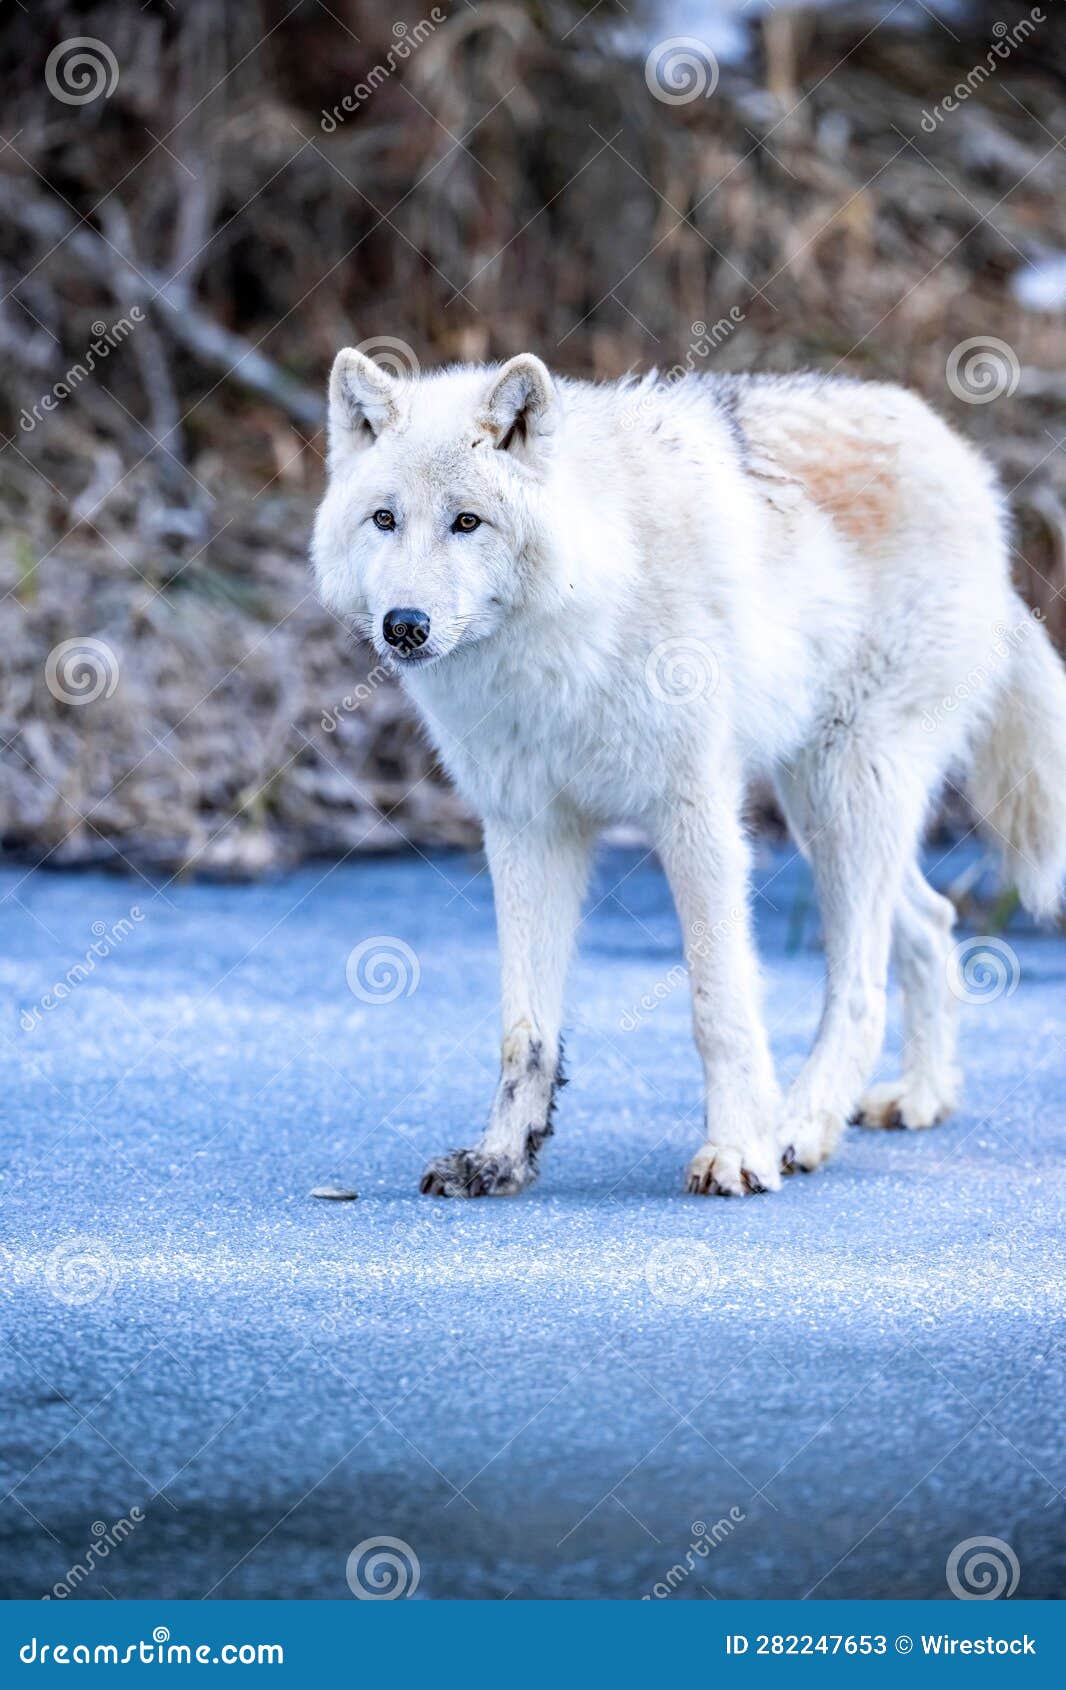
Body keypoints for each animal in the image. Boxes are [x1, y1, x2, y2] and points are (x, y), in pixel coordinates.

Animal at [312, 350, 1066, 1197]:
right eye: (385, 520)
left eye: (466, 522)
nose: (404, 626)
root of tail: (967, 465)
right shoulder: (526, 829)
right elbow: (525, 1029)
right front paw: (501, 1158)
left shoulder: (695, 813)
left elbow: (719, 1006)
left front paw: (737, 1150)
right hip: (821, 808)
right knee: (933, 923)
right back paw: (921, 1097)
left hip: (847, 791)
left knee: (862, 987)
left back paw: (798, 1127)